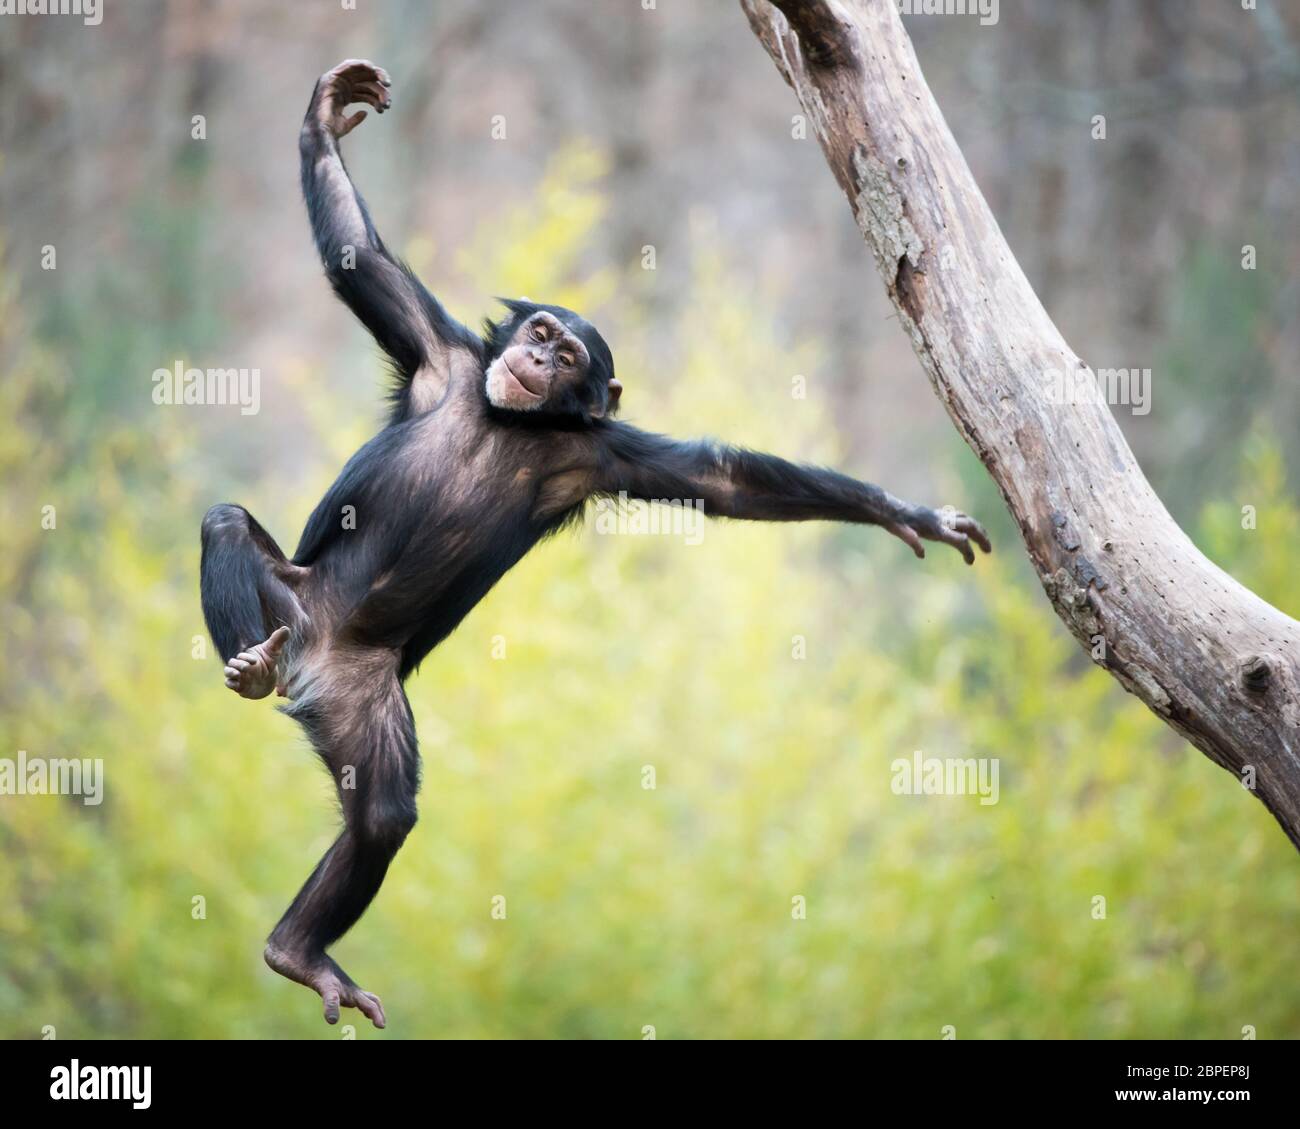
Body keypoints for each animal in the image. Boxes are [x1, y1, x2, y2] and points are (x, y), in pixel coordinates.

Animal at [198, 59, 991, 1029]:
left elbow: (722, 480)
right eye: (540, 332)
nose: (540, 357)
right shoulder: (436, 353)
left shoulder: (601, 455)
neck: (509, 418)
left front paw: (901, 512)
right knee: (225, 525)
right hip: (292, 607)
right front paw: (327, 115)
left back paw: (297, 948)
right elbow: (356, 259)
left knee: (382, 814)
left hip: (363, 697)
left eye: (570, 356)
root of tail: (309, 664)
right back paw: (248, 670)